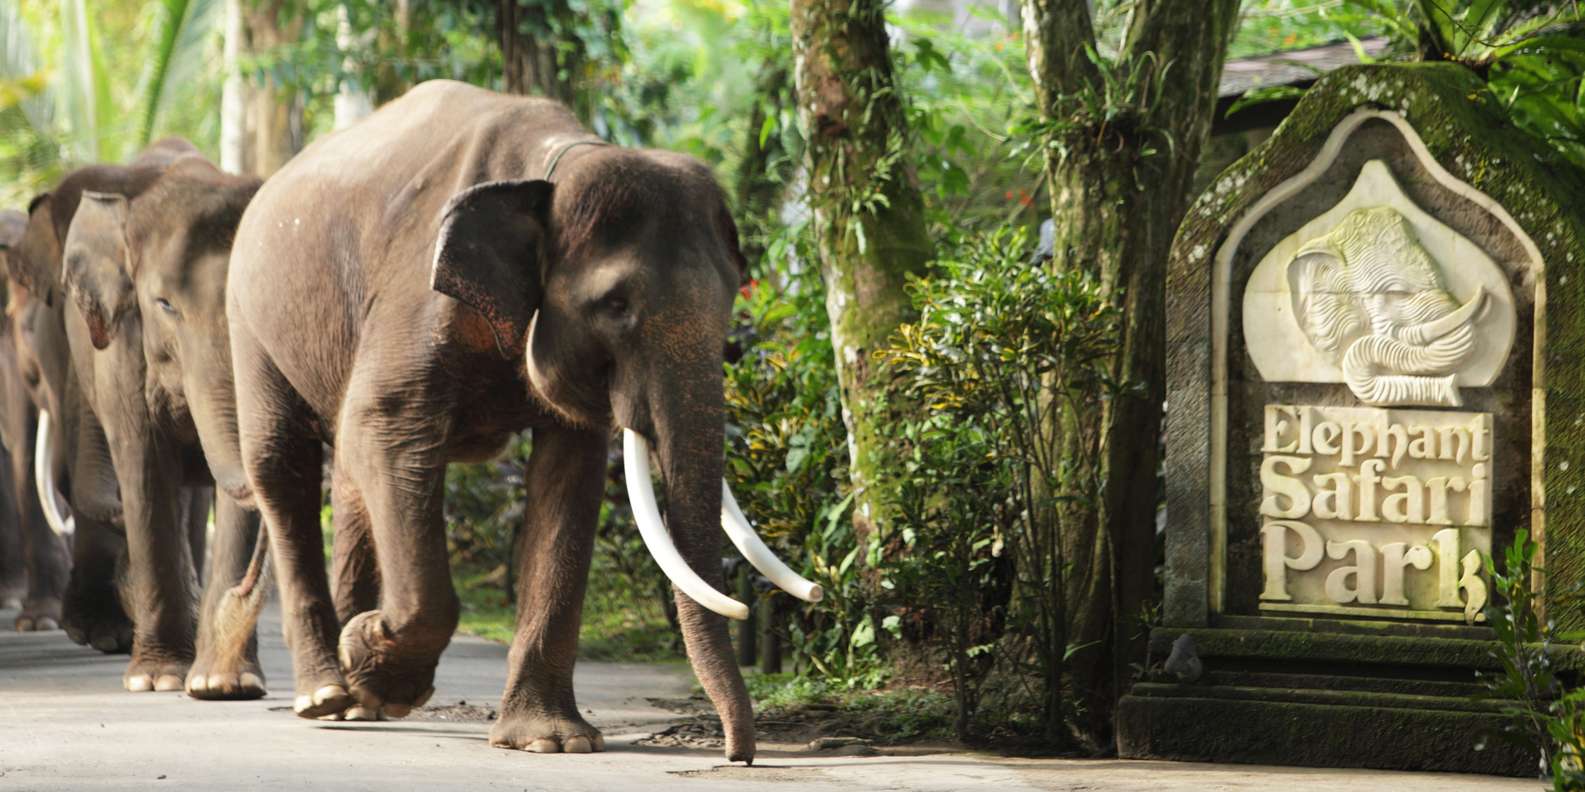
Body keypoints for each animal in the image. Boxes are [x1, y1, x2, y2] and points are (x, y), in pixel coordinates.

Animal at [226, 80, 818, 762]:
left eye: (731, 300)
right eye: (616, 305)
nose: (737, 752)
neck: (556, 166)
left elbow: (568, 472)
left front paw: (550, 742)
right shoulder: (413, 297)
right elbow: (385, 428)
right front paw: (377, 662)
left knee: (348, 480)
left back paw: (354, 701)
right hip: (249, 319)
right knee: (284, 467)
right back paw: (326, 693)